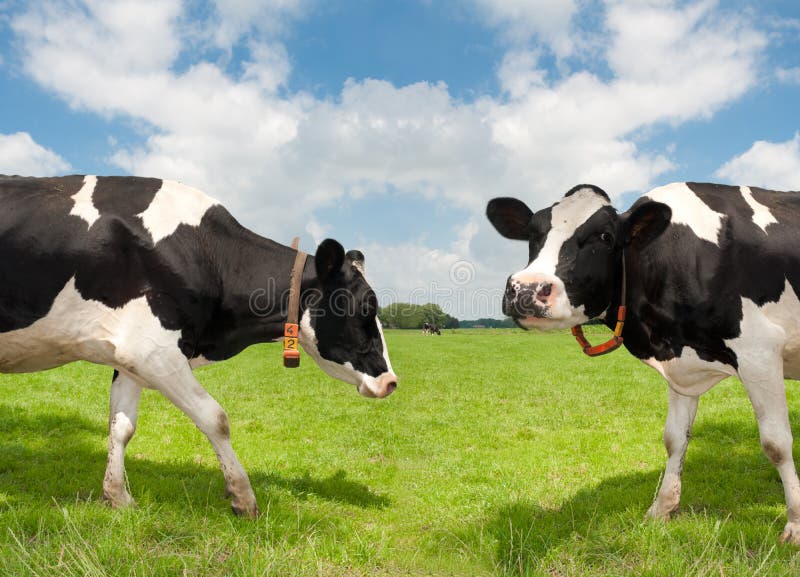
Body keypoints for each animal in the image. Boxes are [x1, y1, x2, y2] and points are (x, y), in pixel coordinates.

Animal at [0, 175, 397, 517]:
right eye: (367, 307)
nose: (391, 382)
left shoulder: (130, 355)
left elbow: (121, 426)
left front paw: (117, 497)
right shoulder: (154, 350)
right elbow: (215, 418)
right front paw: (243, 497)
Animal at [487, 182, 800, 544]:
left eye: (605, 237)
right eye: (533, 234)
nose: (526, 289)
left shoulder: (760, 351)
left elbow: (776, 444)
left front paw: (795, 525)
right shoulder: (683, 366)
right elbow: (675, 438)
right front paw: (661, 510)